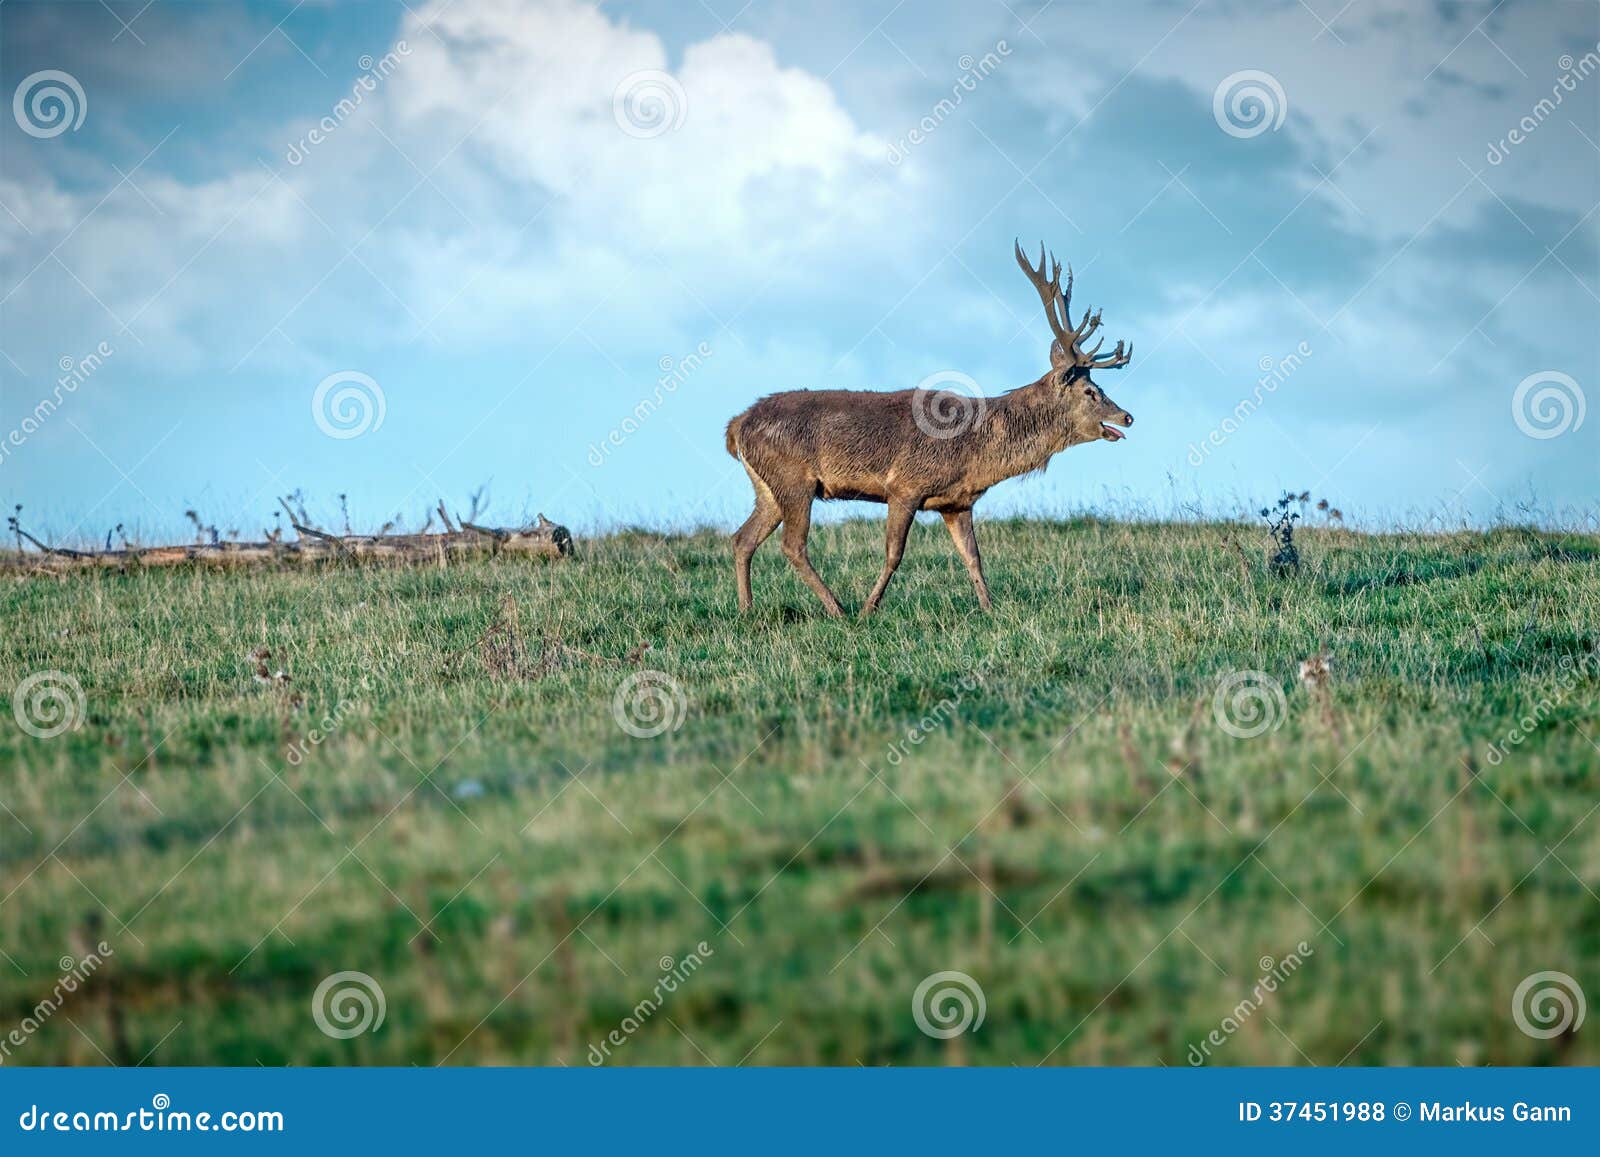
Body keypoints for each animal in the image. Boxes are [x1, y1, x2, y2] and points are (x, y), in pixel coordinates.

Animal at [724, 240, 1134, 618]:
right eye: (1090, 391)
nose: (1127, 417)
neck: (976, 454)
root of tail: (737, 425)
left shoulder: (957, 502)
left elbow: (973, 556)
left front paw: (989, 608)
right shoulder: (905, 485)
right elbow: (894, 554)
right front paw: (869, 608)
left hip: (768, 488)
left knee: (742, 538)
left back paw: (746, 609)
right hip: (795, 479)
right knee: (792, 545)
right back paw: (837, 609)